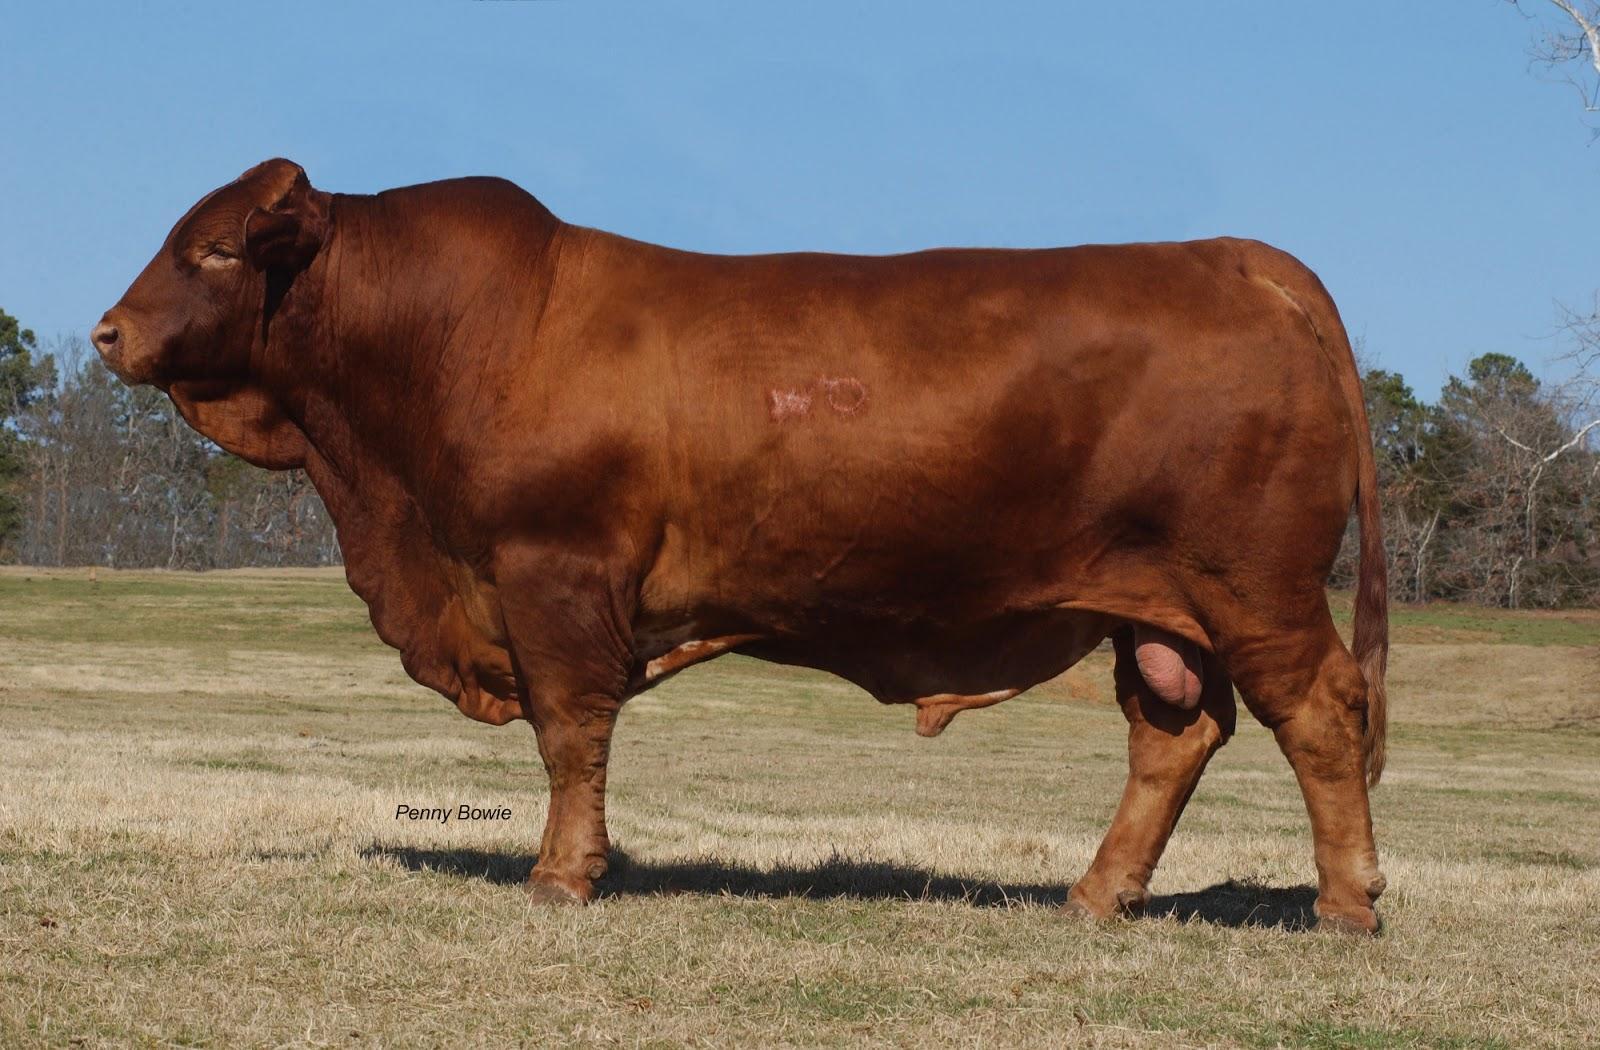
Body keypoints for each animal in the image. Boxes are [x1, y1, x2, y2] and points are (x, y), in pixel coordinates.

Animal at [92, 159, 1389, 932]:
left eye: (216, 249)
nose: (106, 333)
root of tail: (1235, 257)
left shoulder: (553, 572)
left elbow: (571, 735)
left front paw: (562, 876)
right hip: (1159, 613)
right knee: (1174, 736)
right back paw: (1094, 896)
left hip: (1259, 588)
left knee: (1322, 718)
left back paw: (1346, 906)